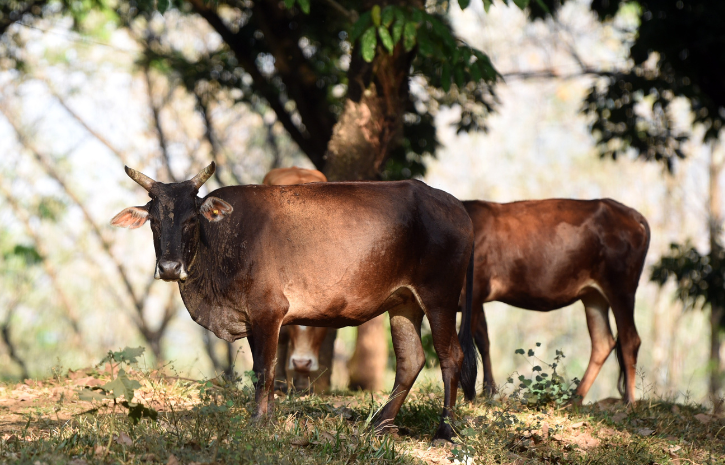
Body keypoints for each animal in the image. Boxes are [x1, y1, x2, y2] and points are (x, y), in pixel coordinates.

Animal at [110, 162, 477, 441]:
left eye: (190, 220)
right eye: (155, 222)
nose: (170, 267)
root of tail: (456, 205)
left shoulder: (268, 312)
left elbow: (265, 369)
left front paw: (258, 422)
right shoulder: (255, 319)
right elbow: (266, 371)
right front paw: (268, 417)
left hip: (440, 297)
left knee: (450, 356)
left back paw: (444, 431)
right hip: (404, 303)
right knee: (410, 360)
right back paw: (379, 424)